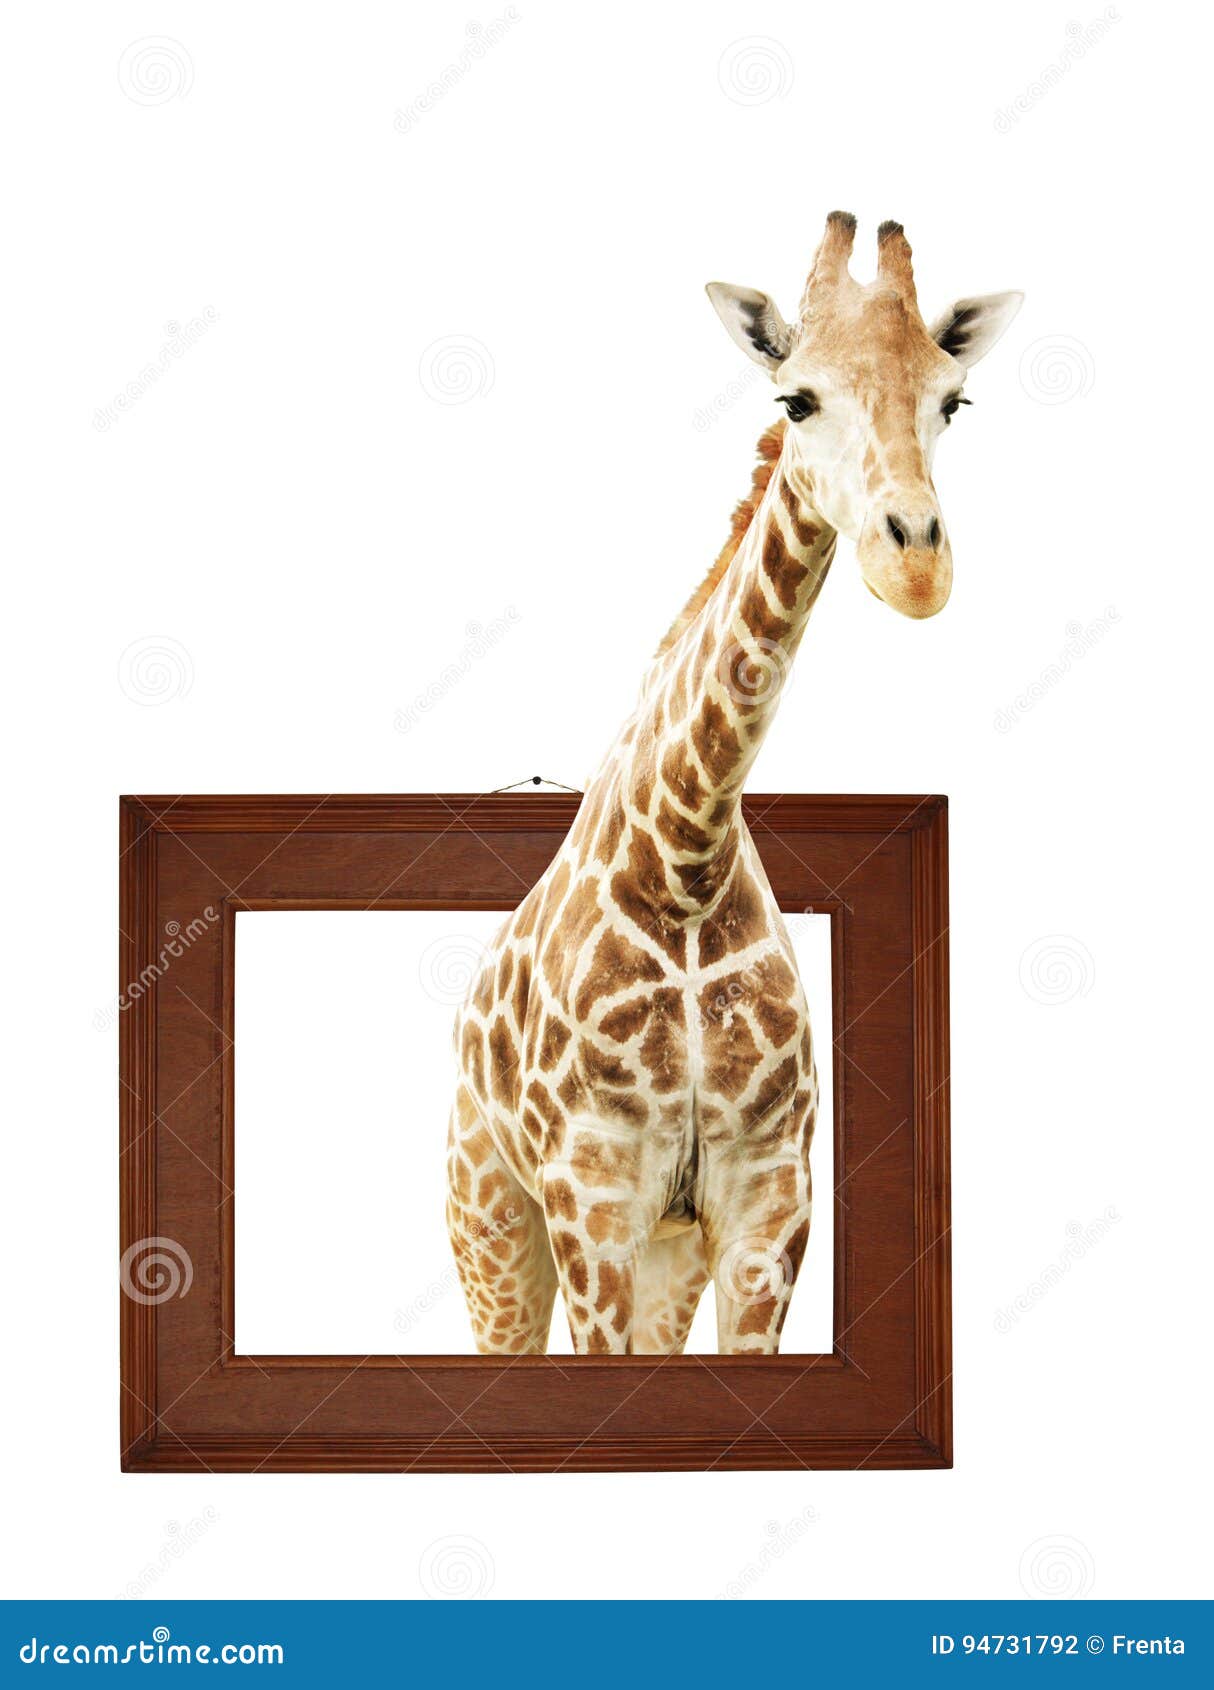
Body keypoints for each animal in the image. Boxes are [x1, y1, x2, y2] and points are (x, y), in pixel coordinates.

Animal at [447, 213, 1022, 1355]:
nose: (916, 570)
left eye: (954, 399)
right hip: (491, 1224)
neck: (685, 857)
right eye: (795, 399)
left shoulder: (768, 1202)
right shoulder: (591, 1200)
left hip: (666, 1255)